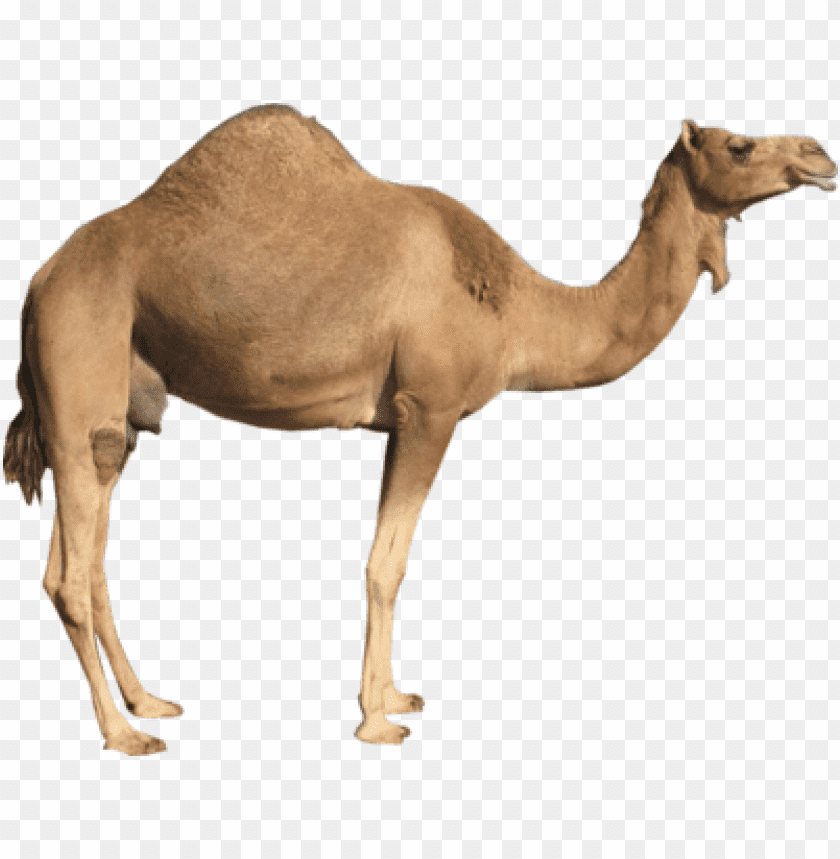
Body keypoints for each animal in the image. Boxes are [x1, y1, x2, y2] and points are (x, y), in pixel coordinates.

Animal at [3, 105, 836, 755]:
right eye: (739, 145)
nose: (819, 156)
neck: (521, 307)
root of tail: (38, 284)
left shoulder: (401, 419)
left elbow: (387, 560)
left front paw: (394, 696)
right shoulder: (428, 408)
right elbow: (387, 565)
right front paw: (377, 720)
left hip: (116, 412)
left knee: (80, 558)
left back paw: (149, 700)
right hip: (82, 363)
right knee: (72, 572)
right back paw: (125, 734)